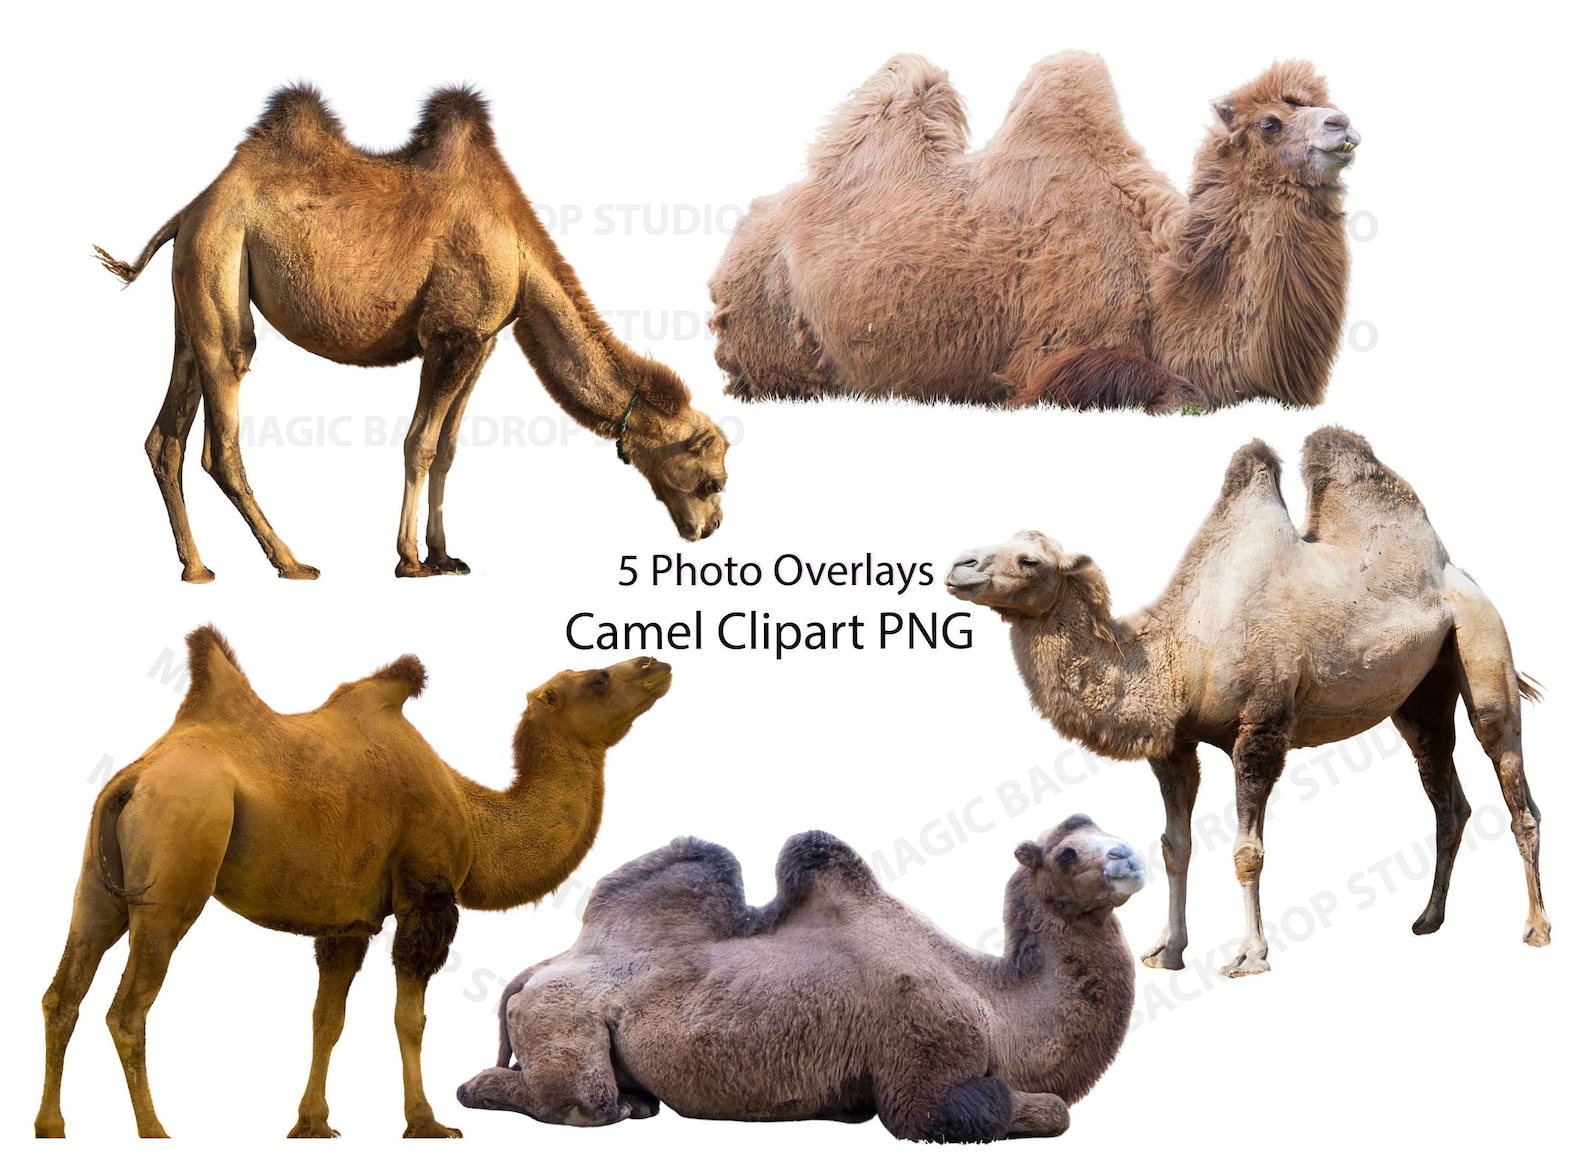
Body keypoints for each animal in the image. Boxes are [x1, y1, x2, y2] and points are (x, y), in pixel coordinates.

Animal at [35, 626, 671, 1138]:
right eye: (596, 679)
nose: (653, 663)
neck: (472, 812)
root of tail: (135, 778)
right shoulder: (425, 896)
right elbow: (409, 1019)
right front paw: (427, 1123)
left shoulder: (347, 922)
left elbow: (327, 1019)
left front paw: (312, 1124)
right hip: (176, 868)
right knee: (128, 1008)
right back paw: (155, 1130)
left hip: (97, 885)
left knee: (64, 992)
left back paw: (50, 1126)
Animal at [97, 85, 728, 582]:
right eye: (712, 481)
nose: (711, 529)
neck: (521, 255)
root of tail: (190, 210)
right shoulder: (449, 334)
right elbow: (419, 443)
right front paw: (409, 559)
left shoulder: (482, 339)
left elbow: (447, 448)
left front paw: (446, 555)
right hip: (222, 263)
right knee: (222, 429)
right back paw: (292, 562)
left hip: (193, 296)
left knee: (167, 437)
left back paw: (197, 567)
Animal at [456, 814, 1145, 1142]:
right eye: (1067, 853)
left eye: (1104, 827)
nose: (1131, 857)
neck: (995, 1006)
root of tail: (535, 971)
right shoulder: (924, 1069)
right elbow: (1040, 1109)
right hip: (562, 1015)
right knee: (574, 1102)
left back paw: (639, 1101)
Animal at [709, 53, 1359, 411]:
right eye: (1270, 122)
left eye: (1321, 105)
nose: (1342, 124)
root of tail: (738, 240)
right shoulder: (1054, 352)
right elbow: (1175, 393)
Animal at [946, 428, 1549, 976]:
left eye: (1029, 560)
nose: (959, 565)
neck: (1179, 652)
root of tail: (1461, 576)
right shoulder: (1175, 745)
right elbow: (1175, 845)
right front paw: (1167, 950)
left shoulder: (1261, 728)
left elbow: (1246, 850)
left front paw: (1250, 955)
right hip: (1421, 696)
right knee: (1446, 793)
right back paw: (1428, 918)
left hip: (1483, 644)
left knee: (1511, 779)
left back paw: (1536, 927)